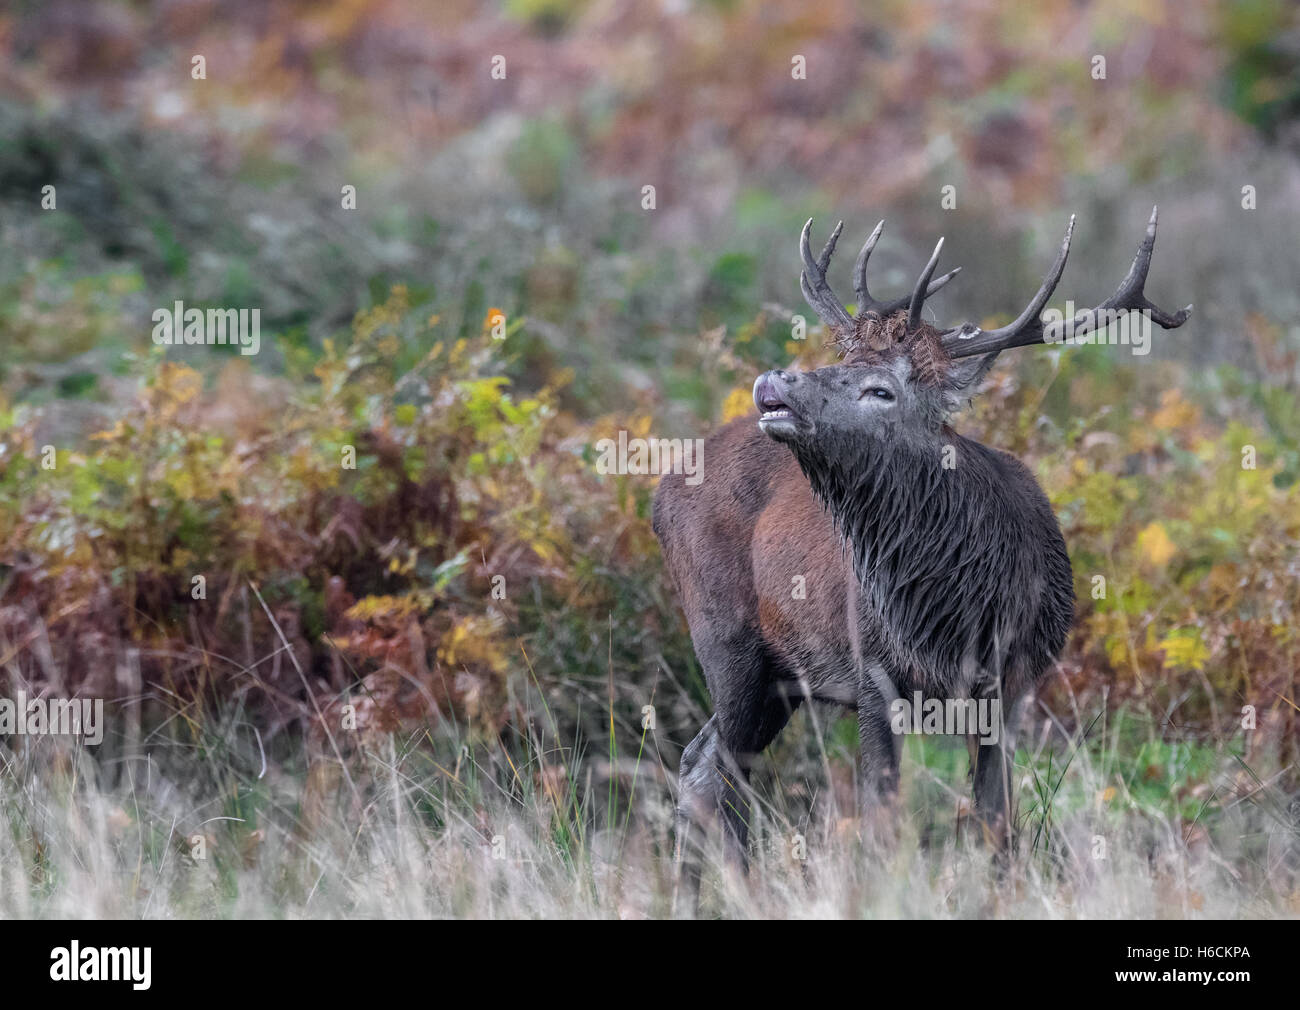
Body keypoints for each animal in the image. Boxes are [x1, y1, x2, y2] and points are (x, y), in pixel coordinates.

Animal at [652, 208, 1191, 911]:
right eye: (843, 358)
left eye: (880, 389)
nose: (775, 380)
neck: (947, 610)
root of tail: (660, 491)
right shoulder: (872, 671)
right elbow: (885, 821)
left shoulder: (1013, 680)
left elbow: (995, 820)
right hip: (728, 642)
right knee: (717, 773)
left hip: (778, 678)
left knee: (703, 765)